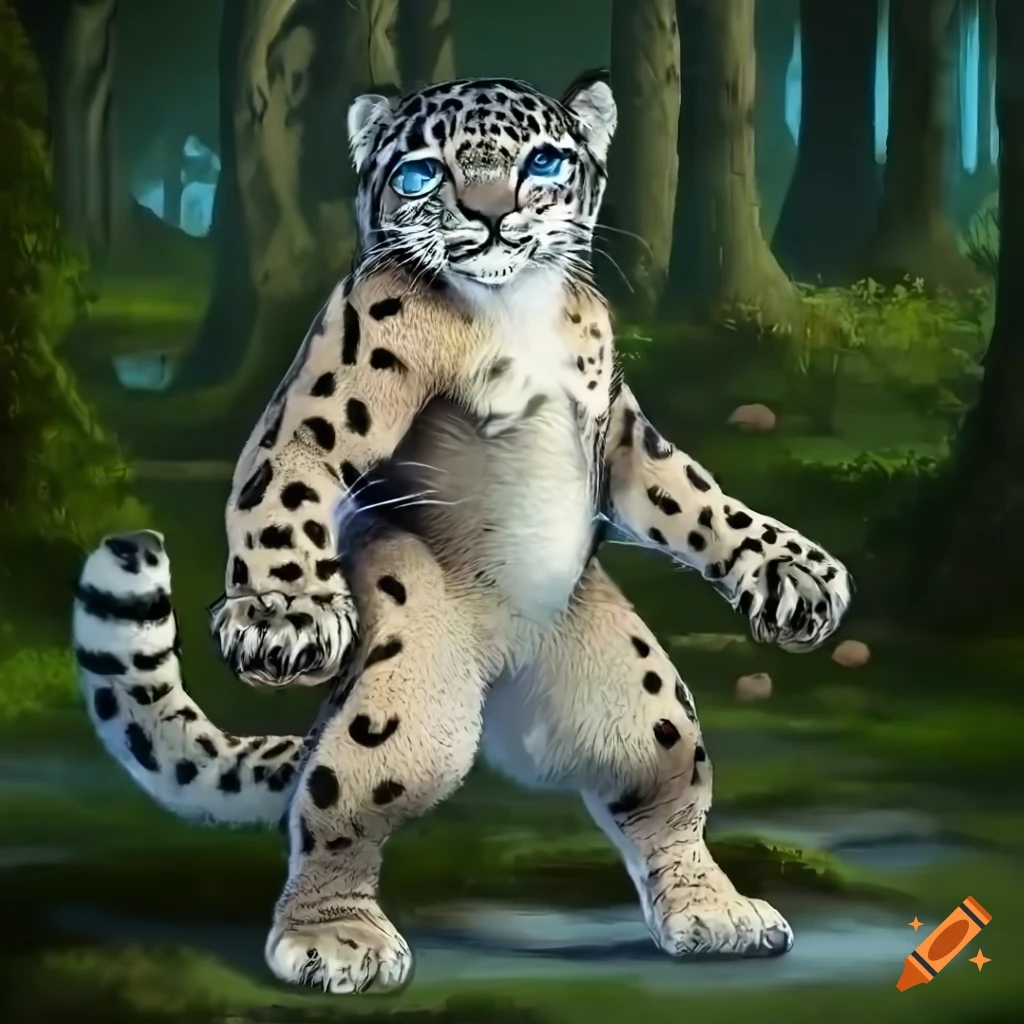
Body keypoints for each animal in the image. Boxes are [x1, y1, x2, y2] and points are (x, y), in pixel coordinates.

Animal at [72, 71, 852, 995]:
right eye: (423, 172)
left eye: (542, 161)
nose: (489, 217)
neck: (517, 307)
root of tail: (505, 668)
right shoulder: (336, 387)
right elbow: (289, 477)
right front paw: (283, 615)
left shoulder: (619, 428)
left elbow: (688, 493)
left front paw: (794, 571)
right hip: (409, 676)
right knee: (340, 798)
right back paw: (337, 939)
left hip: (636, 687)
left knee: (661, 783)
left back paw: (717, 912)